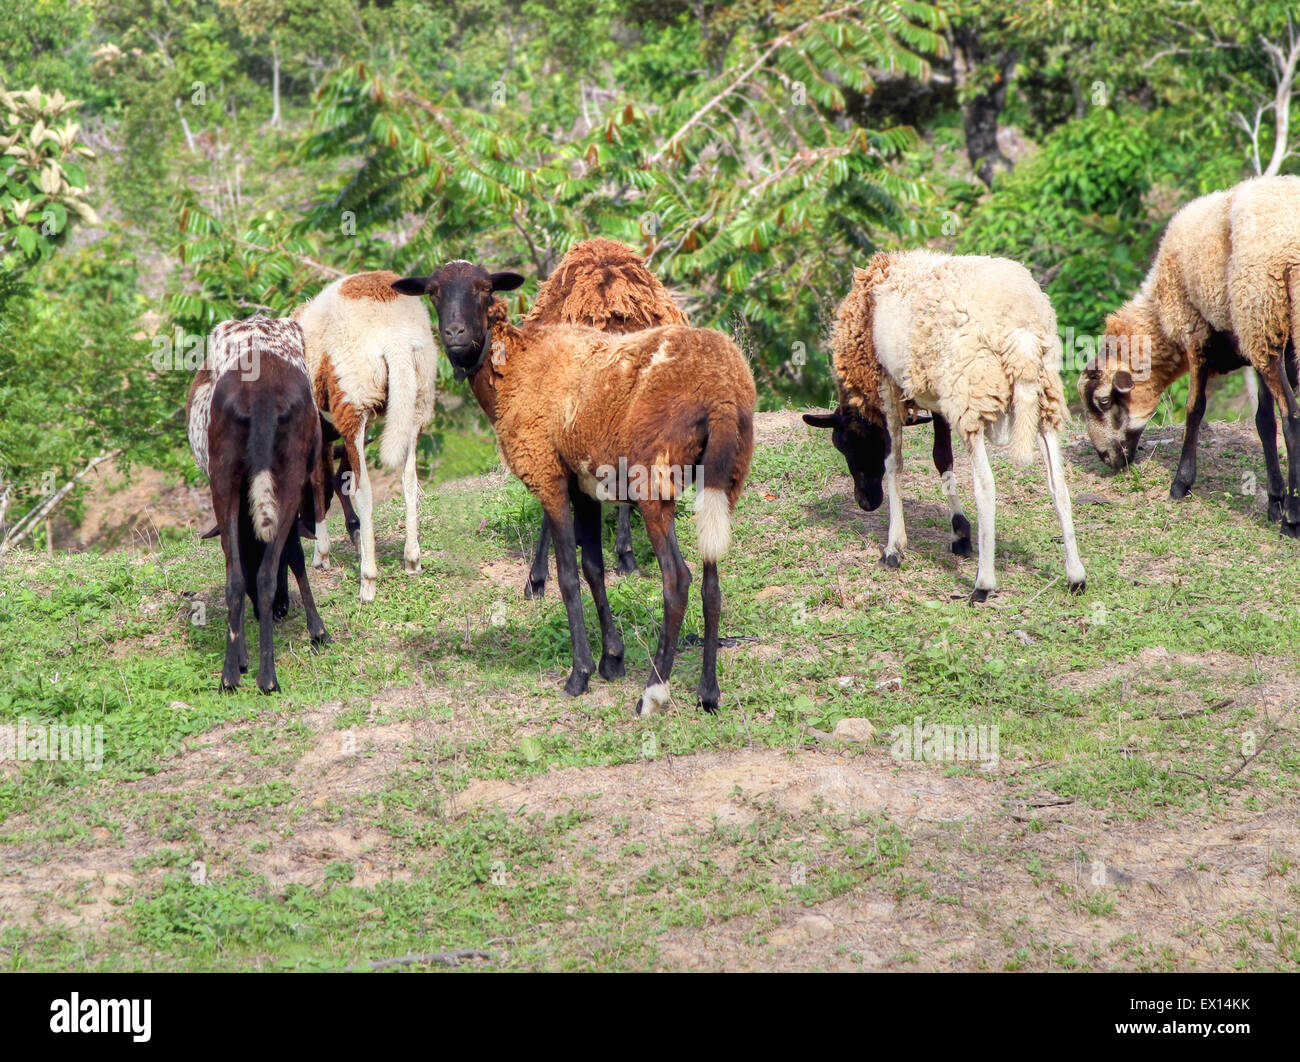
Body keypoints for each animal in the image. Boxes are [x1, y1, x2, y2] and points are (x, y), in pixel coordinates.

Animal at [186, 314, 329, 692]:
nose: (280, 609)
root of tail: (261, 389)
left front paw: (240, 657)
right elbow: (292, 555)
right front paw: (318, 630)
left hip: (223, 478)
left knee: (234, 578)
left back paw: (231, 674)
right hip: (289, 475)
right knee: (266, 572)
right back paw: (268, 676)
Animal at [291, 270, 439, 602]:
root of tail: (395, 338)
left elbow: (320, 480)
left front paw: (322, 553)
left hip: (353, 400)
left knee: (363, 488)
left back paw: (368, 581)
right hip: (417, 400)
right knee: (409, 477)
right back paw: (412, 559)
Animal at [804, 250, 1086, 601]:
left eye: (844, 444)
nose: (866, 503)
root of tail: (1021, 329)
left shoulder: (887, 384)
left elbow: (894, 462)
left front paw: (894, 547)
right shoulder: (935, 393)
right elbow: (942, 458)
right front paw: (959, 533)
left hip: (971, 392)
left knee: (986, 486)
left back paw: (983, 584)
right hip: (1044, 394)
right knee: (1058, 484)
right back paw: (1076, 576)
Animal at [1078, 175, 1300, 535]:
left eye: (1103, 401)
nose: (1105, 459)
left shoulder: (1196, 333)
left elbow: (1195, 409)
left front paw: (1181, 484)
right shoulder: (1257, 343)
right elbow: (1264, 422)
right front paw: (1273, 501)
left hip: (1260, 309)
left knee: (1292, 418)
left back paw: (1292, 522)